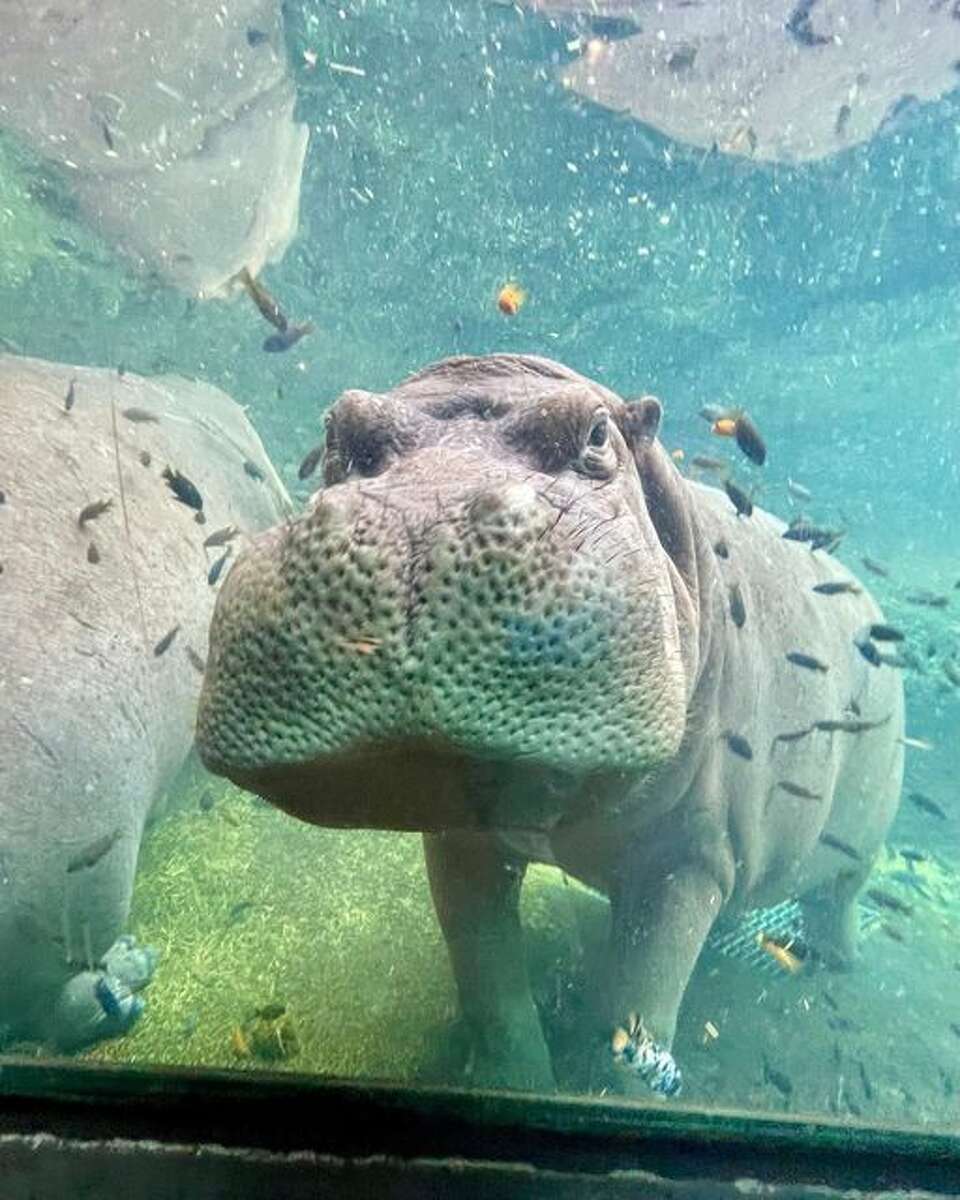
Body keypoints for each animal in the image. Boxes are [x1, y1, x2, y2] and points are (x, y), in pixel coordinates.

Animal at [197, 354, 904, 1095]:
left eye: (597, 432)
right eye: (338, 429)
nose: (425, 518)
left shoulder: (688, 859)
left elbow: (642, 1004)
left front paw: (621, 1084)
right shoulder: (461, 837)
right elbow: (490, 983)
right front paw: (513, 1081)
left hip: (863, 830)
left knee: (840, 896)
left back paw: (834, 961)